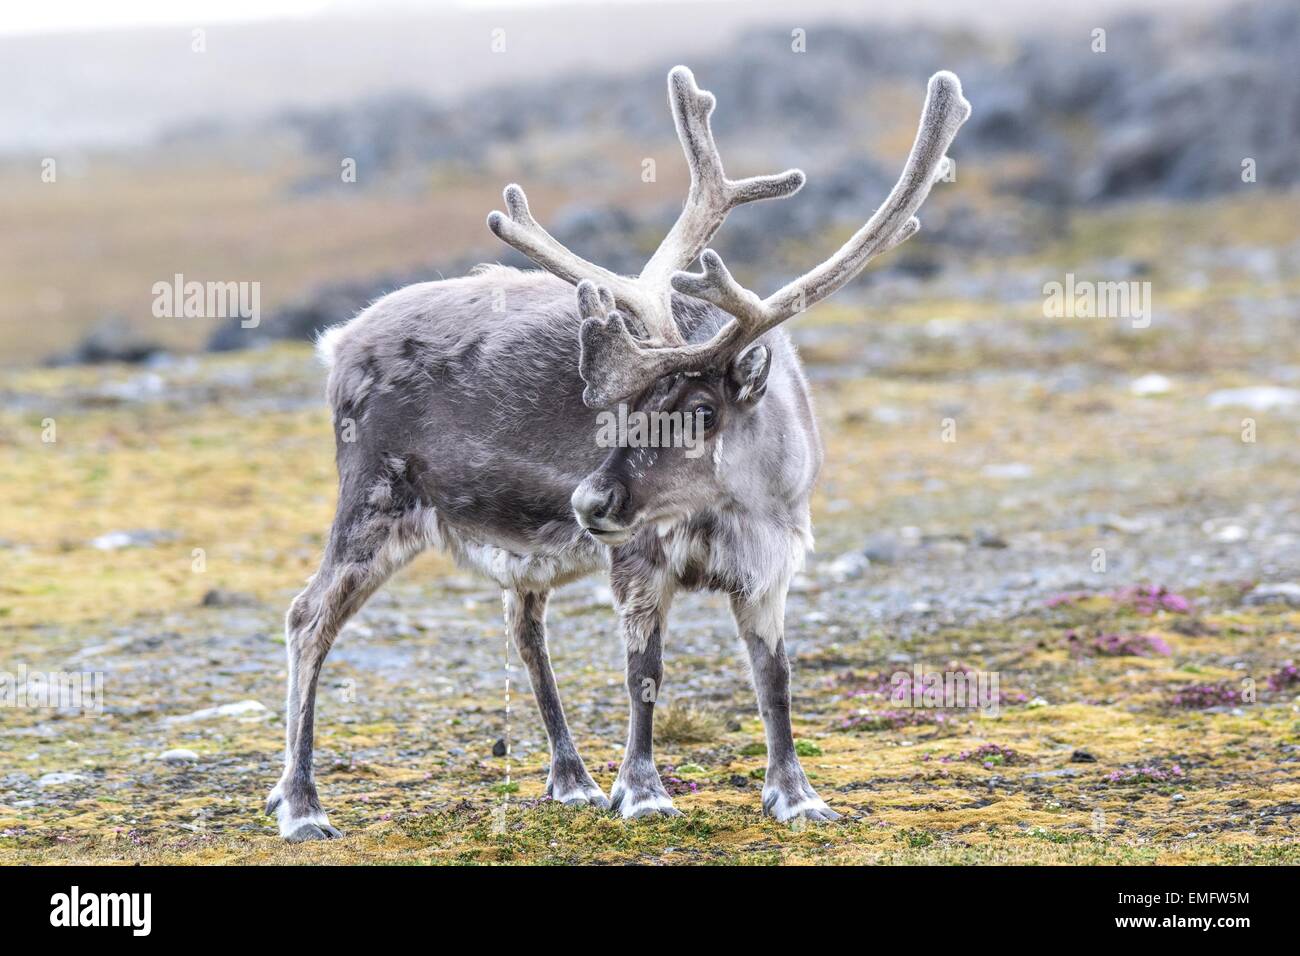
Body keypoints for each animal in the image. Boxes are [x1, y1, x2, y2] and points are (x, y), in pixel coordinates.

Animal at [266, 65, 970, 840]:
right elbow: (645, 673)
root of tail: (339, 343)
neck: (740, 507)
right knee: (308, 617)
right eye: (620, 408)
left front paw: (797, 796)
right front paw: (643, 792)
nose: (588, 500)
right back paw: (300, 803)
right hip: (375, 500)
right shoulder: (639, 557)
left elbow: (775, 680)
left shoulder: (770, 565)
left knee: (523, 628)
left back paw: (571, 779)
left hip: (507, 547)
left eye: (700, 411)